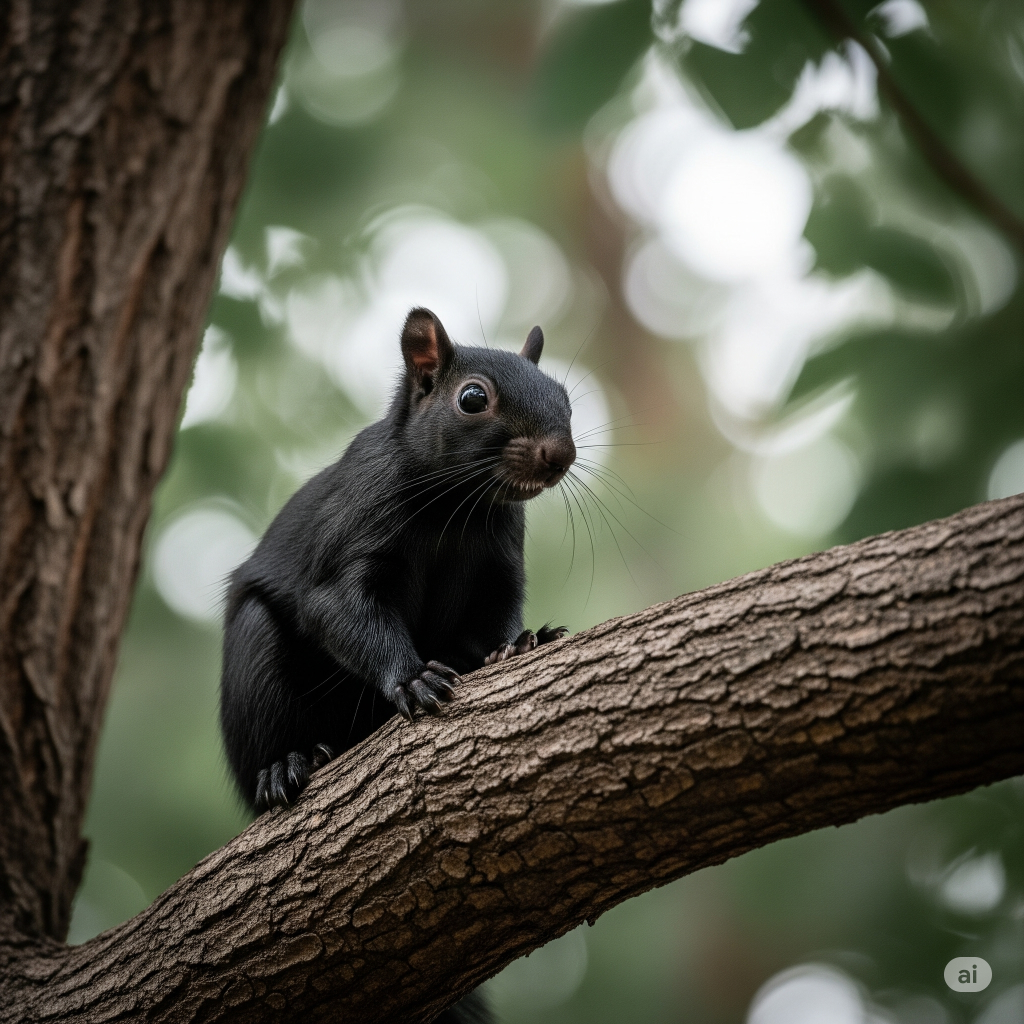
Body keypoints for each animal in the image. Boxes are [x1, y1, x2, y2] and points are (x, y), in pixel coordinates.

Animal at [219, 307, 575, 1024]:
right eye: (473, 398)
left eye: (566, 397)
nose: (561, 453)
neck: (455, 508)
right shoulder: (354, 537)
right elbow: (345, 611)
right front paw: (411, 678)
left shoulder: (499, 562)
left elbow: (494, 622)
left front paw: (522, 643)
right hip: (254, 669)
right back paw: (285, 766)